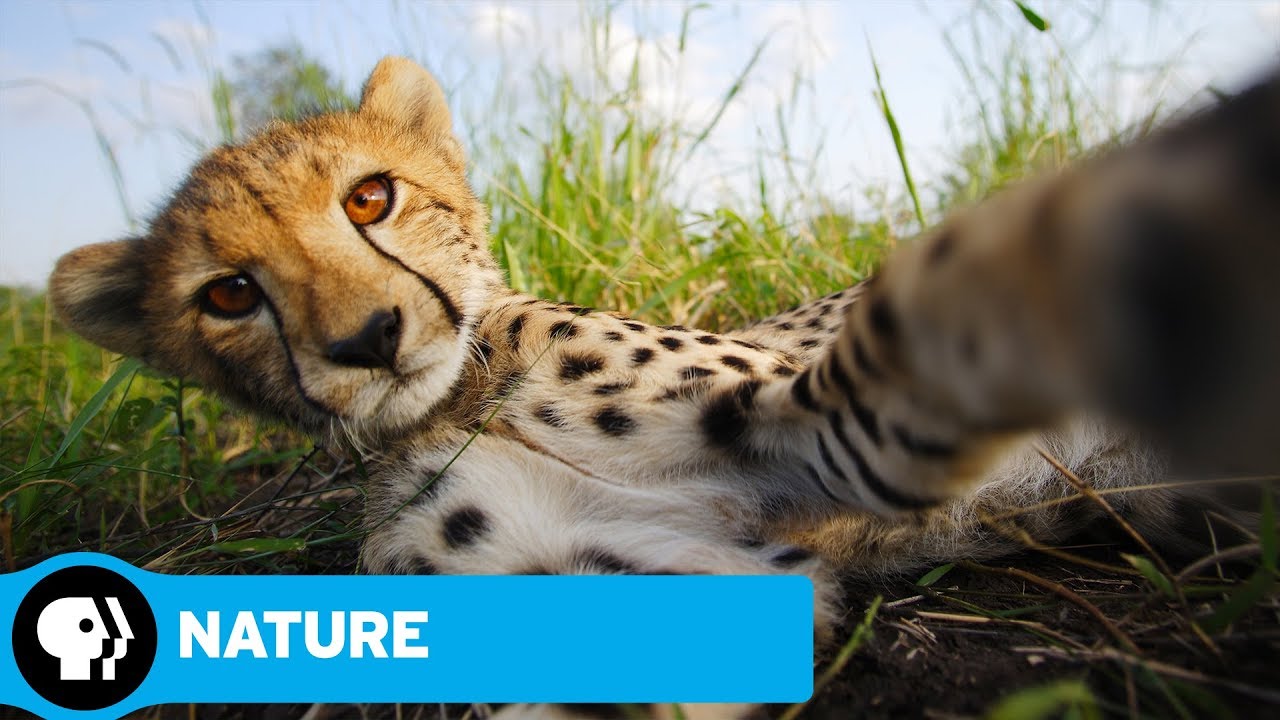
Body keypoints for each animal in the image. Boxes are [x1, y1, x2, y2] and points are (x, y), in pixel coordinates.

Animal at [48, 55, 1280, 648]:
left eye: (369, 196)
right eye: (229, 294)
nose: (370, 337)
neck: (457, 403)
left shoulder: (798, 422)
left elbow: (896, 342)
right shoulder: (662, 578)